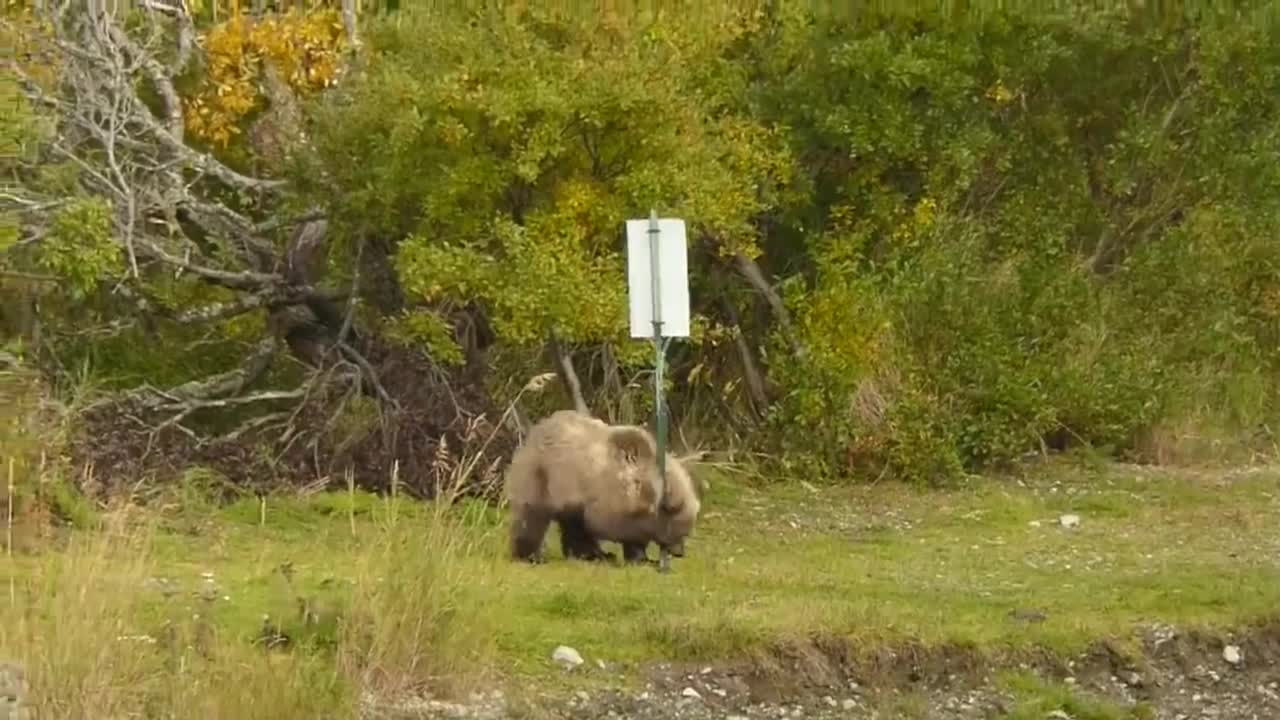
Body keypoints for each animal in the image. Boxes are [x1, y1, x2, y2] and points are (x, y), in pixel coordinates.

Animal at [504, 409, 704, 567]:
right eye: (680, 531)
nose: (680, 552)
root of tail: (535, 432)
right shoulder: (607, 498)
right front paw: (636, 556)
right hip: (543, 477)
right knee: (533, 516)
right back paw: (531, 556)